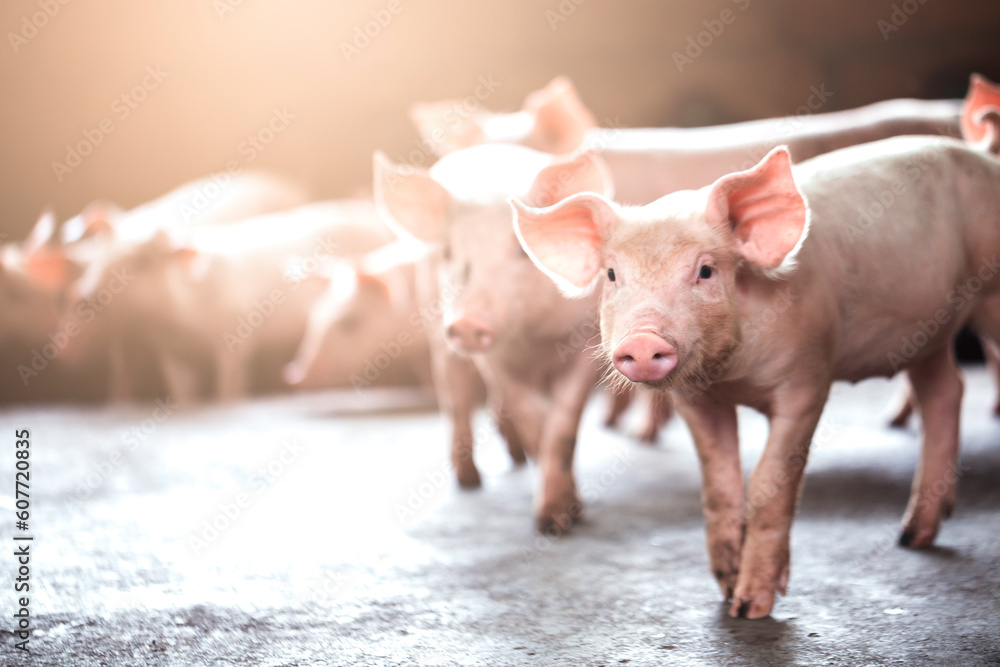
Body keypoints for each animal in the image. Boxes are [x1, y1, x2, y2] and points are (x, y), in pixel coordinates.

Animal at [374, 144, 617, 531]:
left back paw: (515, 458)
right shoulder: (495, 359)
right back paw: (471, 481)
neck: (534, 336)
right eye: (448, 252)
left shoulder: (585, 341)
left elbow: (565, 422)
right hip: (438, 334)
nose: (467, 322)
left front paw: (566, 519)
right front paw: (553, 520)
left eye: (522, 250)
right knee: (456, 397)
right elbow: (530, 414)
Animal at [511, 135, 1000, 618]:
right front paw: (727, 591)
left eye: (706, 270)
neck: (733, 377)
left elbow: (768, 483)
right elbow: (718, 486)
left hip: (988, 298)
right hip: (926, 335)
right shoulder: (697, 401)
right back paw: (913, 536)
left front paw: (750, 609)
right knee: (946, 391)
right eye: (612, 275)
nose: (643, 341)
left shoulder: (807, 381)